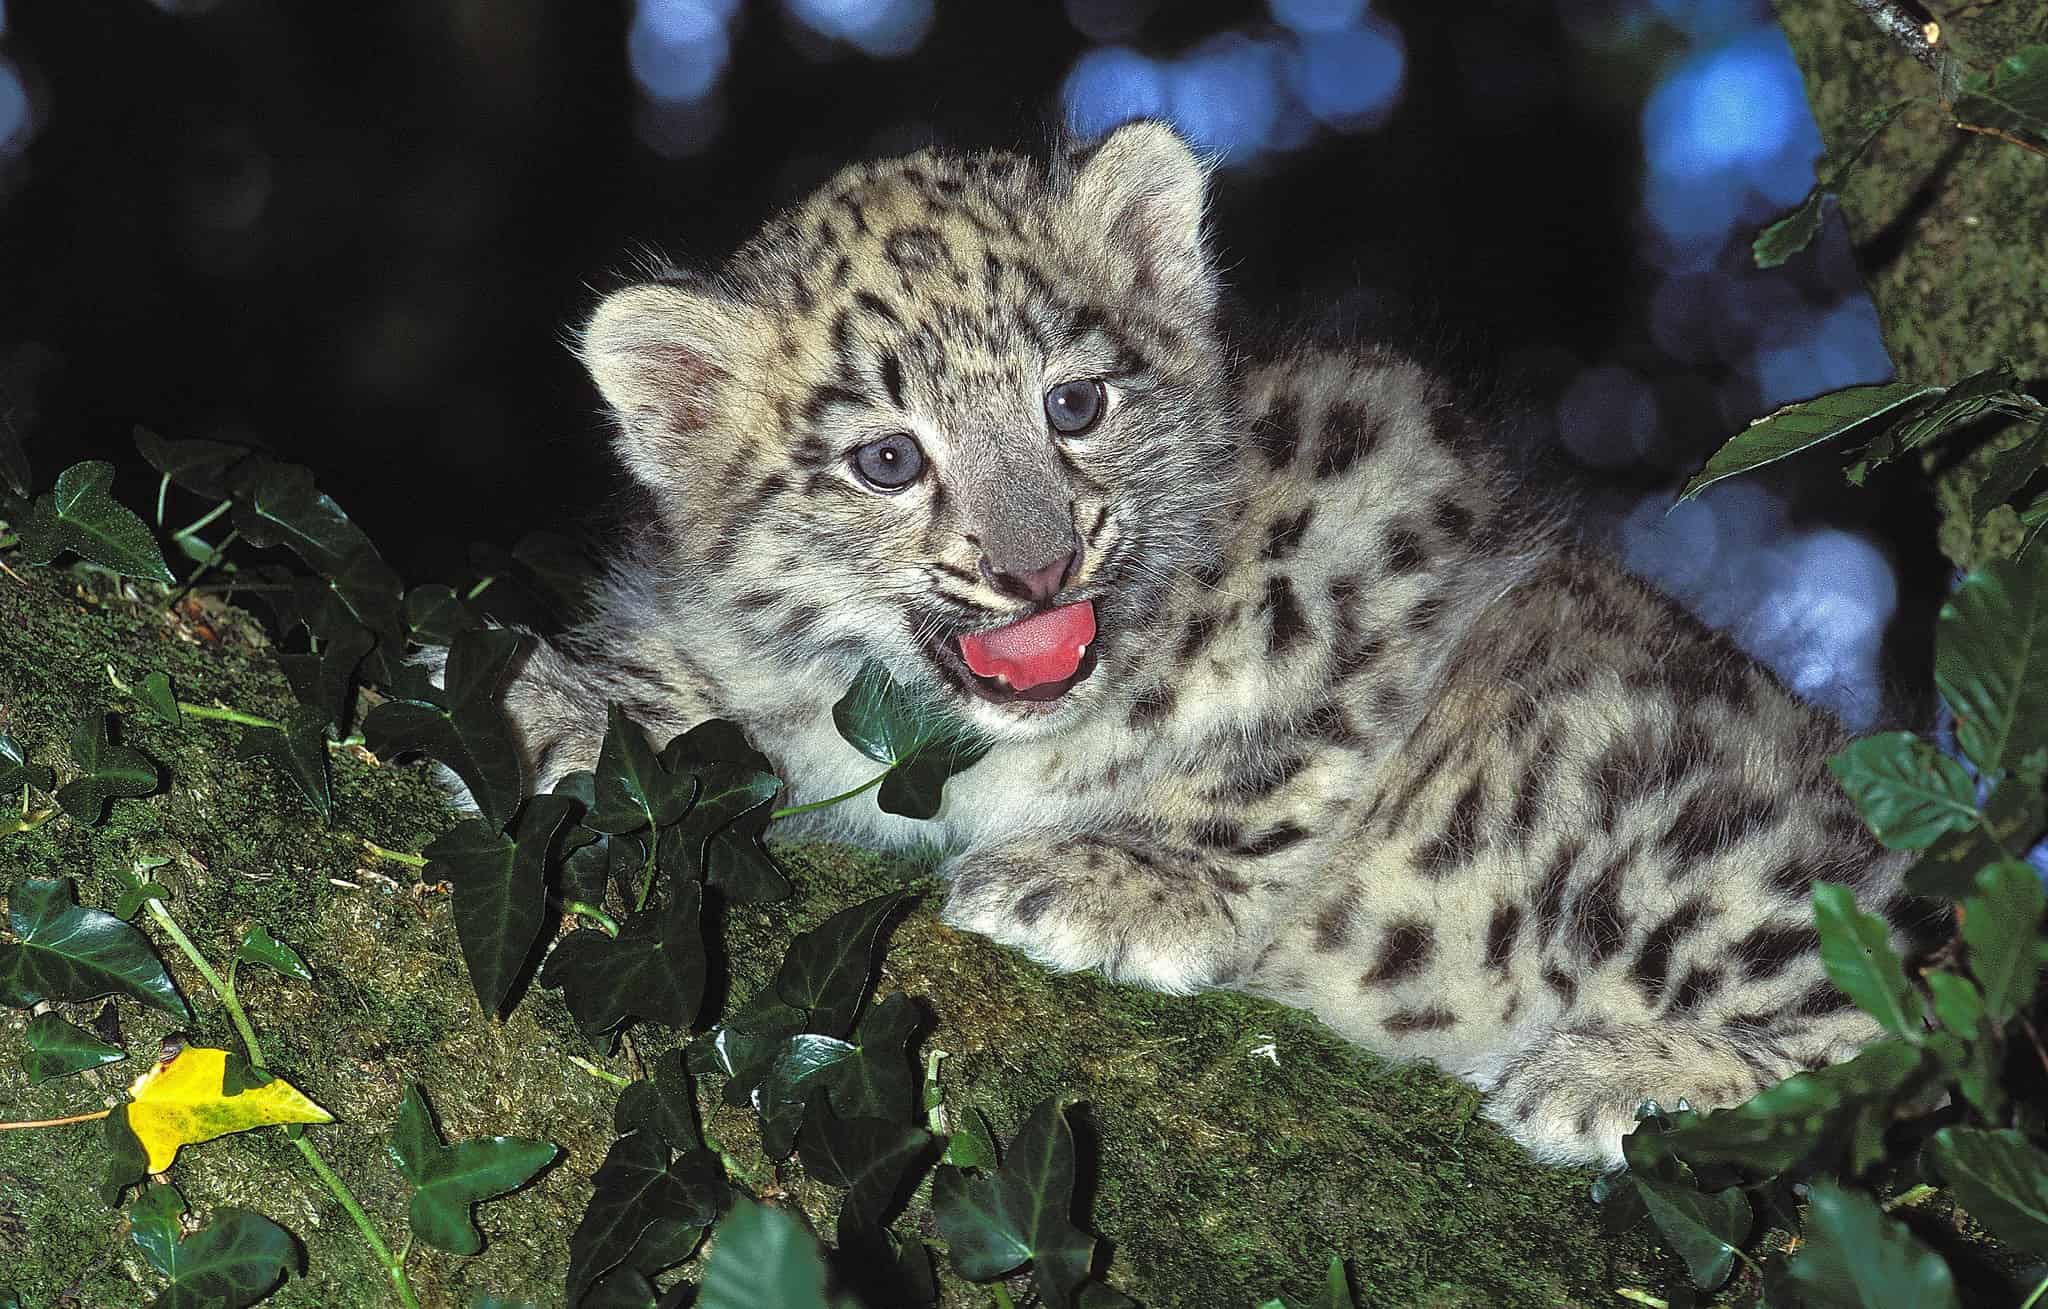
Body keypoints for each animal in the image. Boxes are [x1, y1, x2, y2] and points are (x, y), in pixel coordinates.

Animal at [495, 119, 1921, 1168]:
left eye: (1074, 403)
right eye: (887, 459)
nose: (1037, 566)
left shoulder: (1390, 485)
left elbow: (1277, 742)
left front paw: (1114, 876)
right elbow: (698, 688)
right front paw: (561, 705)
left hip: (1666, 830)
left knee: (1897, 1009)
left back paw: (1602, 1071)